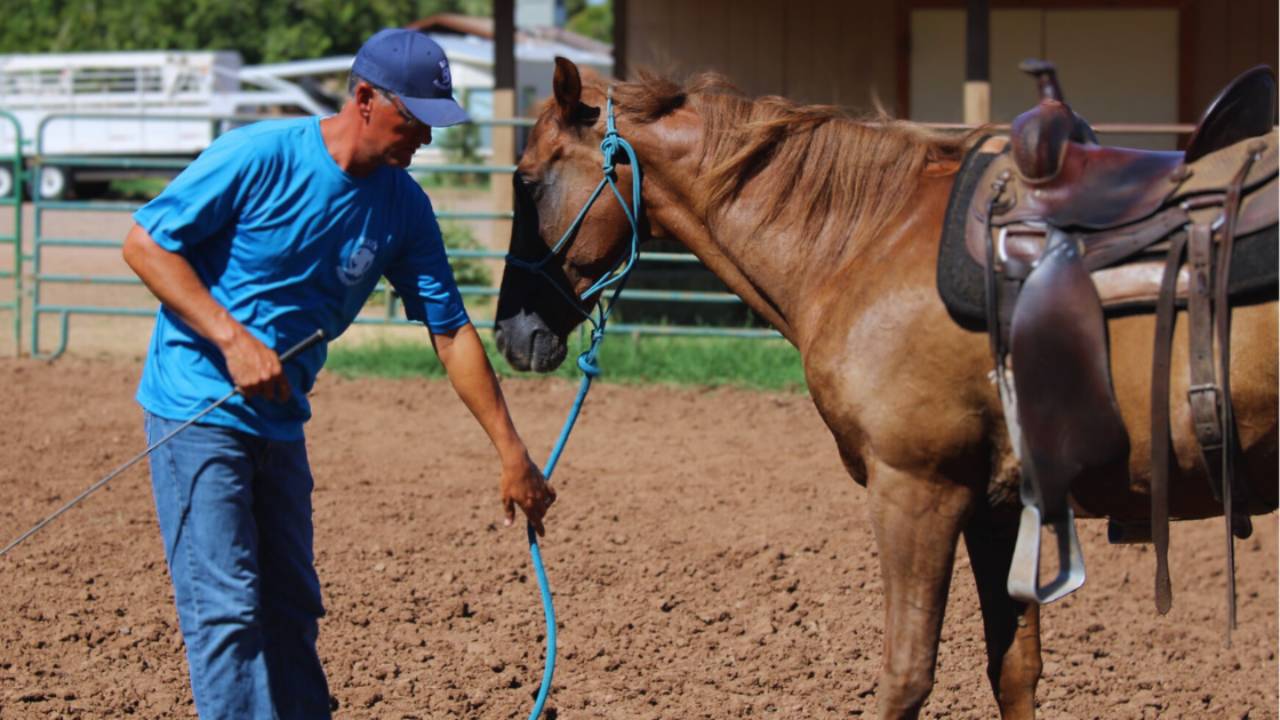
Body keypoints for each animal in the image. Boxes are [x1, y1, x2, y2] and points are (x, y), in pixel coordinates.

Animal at [492, 58, 1279, 719]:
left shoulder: (917, 490)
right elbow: (1013, 669)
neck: (869, 240)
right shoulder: (997, 507)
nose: (508, 332)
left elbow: (906, 675)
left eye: (527, 180)